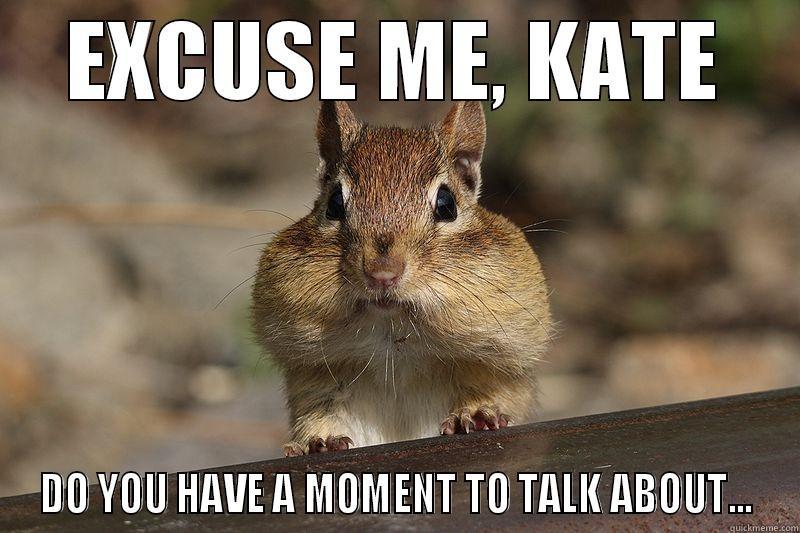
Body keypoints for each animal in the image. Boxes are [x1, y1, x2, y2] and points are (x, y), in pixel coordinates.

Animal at [251, 101, 552, 456]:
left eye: (447, 204)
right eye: (335, 203)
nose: (382, 273)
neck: (395, 338)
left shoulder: (499, 364)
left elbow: (492, 392)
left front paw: (476, 415)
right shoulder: (316, 382)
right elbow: (320, 414)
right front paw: (319, 442)